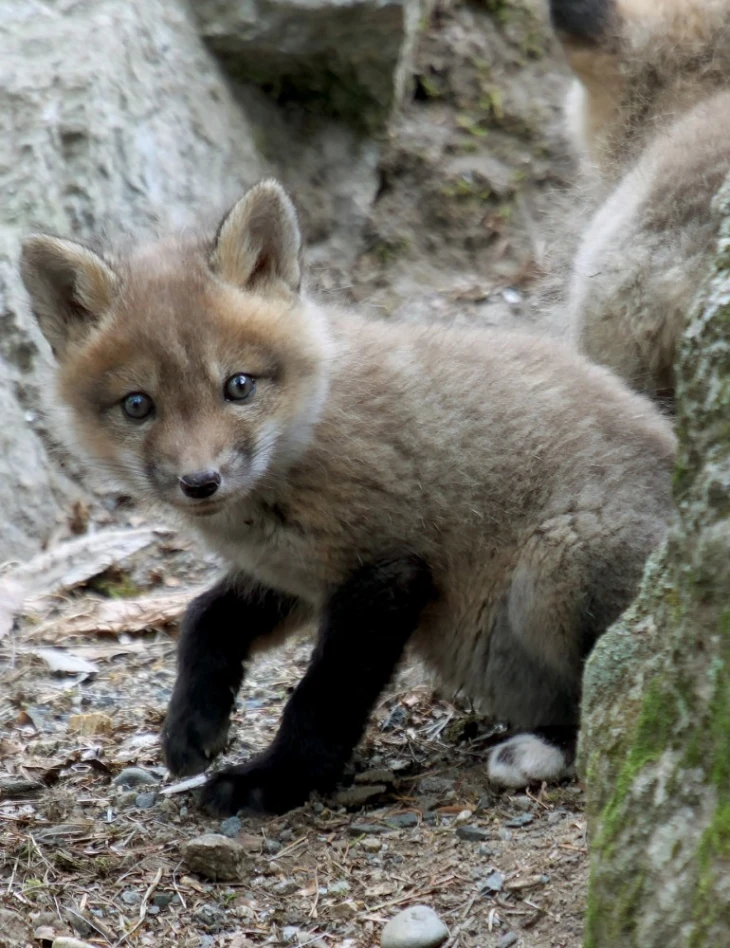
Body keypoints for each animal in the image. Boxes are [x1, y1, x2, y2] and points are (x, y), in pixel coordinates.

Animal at [19, 179, 676, 816]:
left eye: (238, 386)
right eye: (138, 405)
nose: (200, 482)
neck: (308, 429)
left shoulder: (387, 568)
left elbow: (320, 701)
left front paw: (273, 783)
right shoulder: (295, 572)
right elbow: (204, 618)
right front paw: (192, 725)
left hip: (556, 567)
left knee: (620, 686)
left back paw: (546, 749)